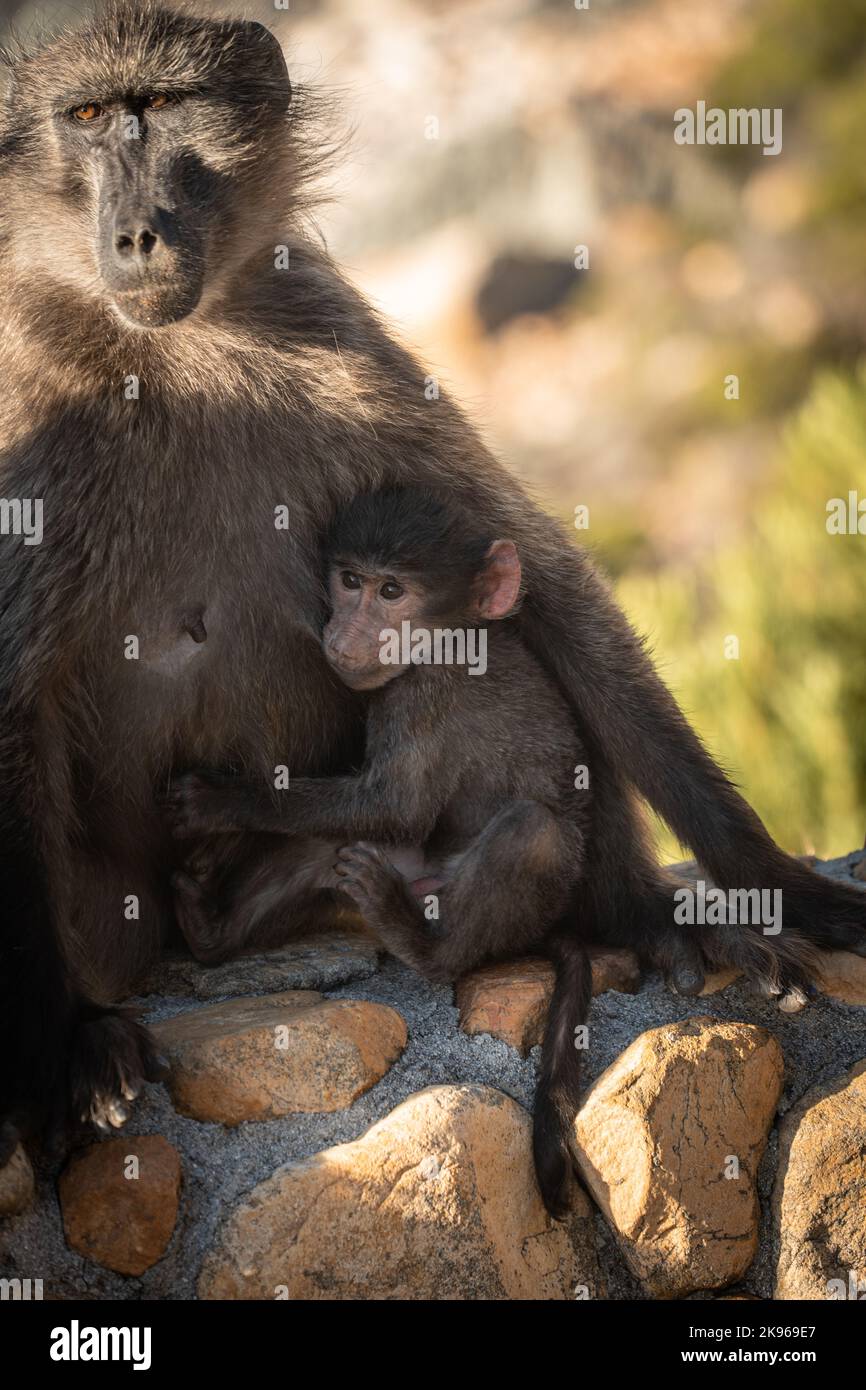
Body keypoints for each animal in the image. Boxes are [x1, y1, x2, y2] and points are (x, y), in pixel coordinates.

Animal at [1, 2, 865, 1180]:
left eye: (164, 106)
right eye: (87, 118)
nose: (137, 233)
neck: (171, 349)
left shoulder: (337, 353)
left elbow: (540, 577)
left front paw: (770, 884)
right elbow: (13, 696)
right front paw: (64, 1050)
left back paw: (627, 916)